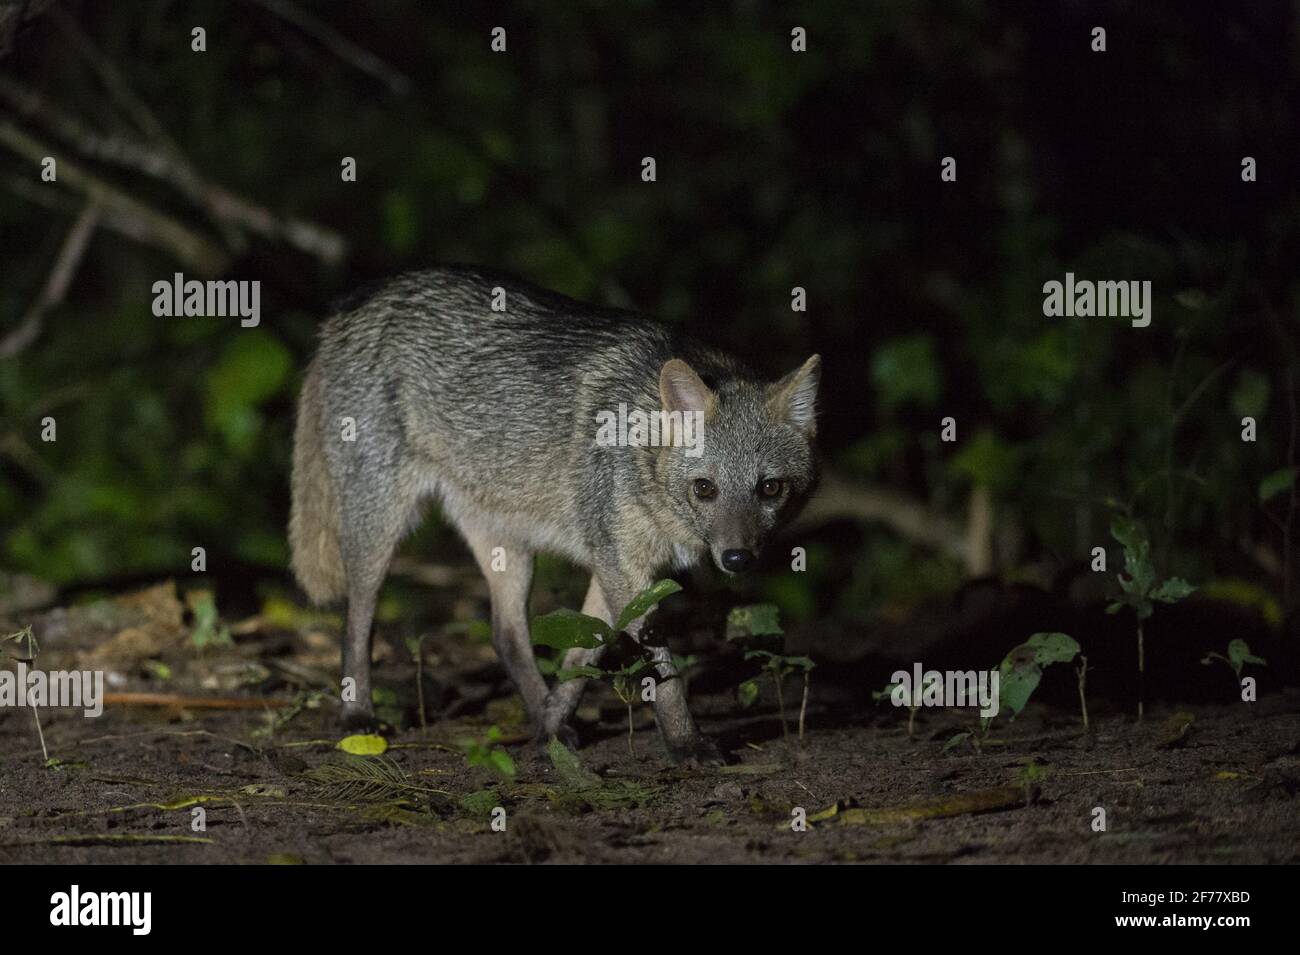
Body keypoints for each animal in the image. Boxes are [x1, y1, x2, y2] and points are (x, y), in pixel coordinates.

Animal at [289, 265, 820, 763]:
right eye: (705, 489)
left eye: (770, 488)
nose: (736, 560)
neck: (641, 438)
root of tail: (354, 301)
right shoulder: (623, 568)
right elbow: (661, 672)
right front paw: (687, 744)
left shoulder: (614, 568)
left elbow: (578, 657)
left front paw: (551, 725)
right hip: (378, 532)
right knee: (356, 621)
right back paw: (357, 715)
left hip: (507, 550)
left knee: (505, 634)